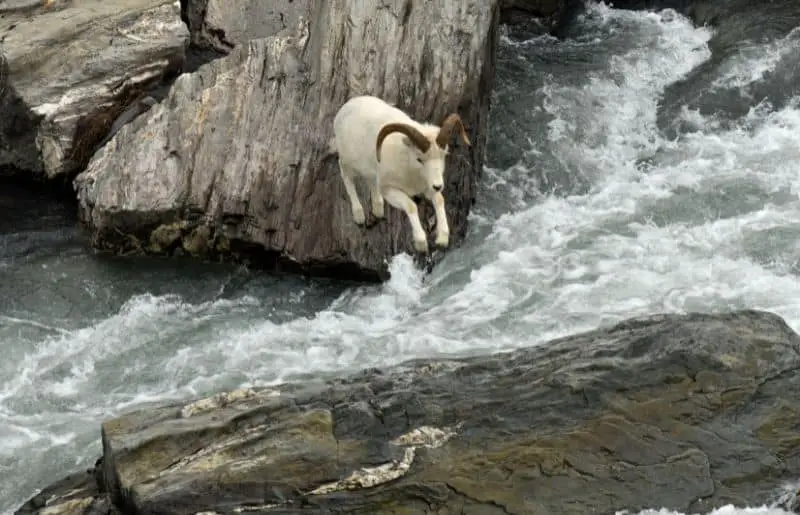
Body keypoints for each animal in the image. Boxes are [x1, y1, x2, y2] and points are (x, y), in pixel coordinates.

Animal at [331, 95, 471, 254]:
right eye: (419, 159)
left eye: (444, 155)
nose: (438, 186)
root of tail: (346, 107)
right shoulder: (390, 190)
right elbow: (411, 206)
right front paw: (421, 243)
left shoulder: (427, 187)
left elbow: (439, 200)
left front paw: (442, 239)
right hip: (347, 163)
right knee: (347, 178)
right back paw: (359, 215)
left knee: (372, 183)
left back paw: (378, 210)